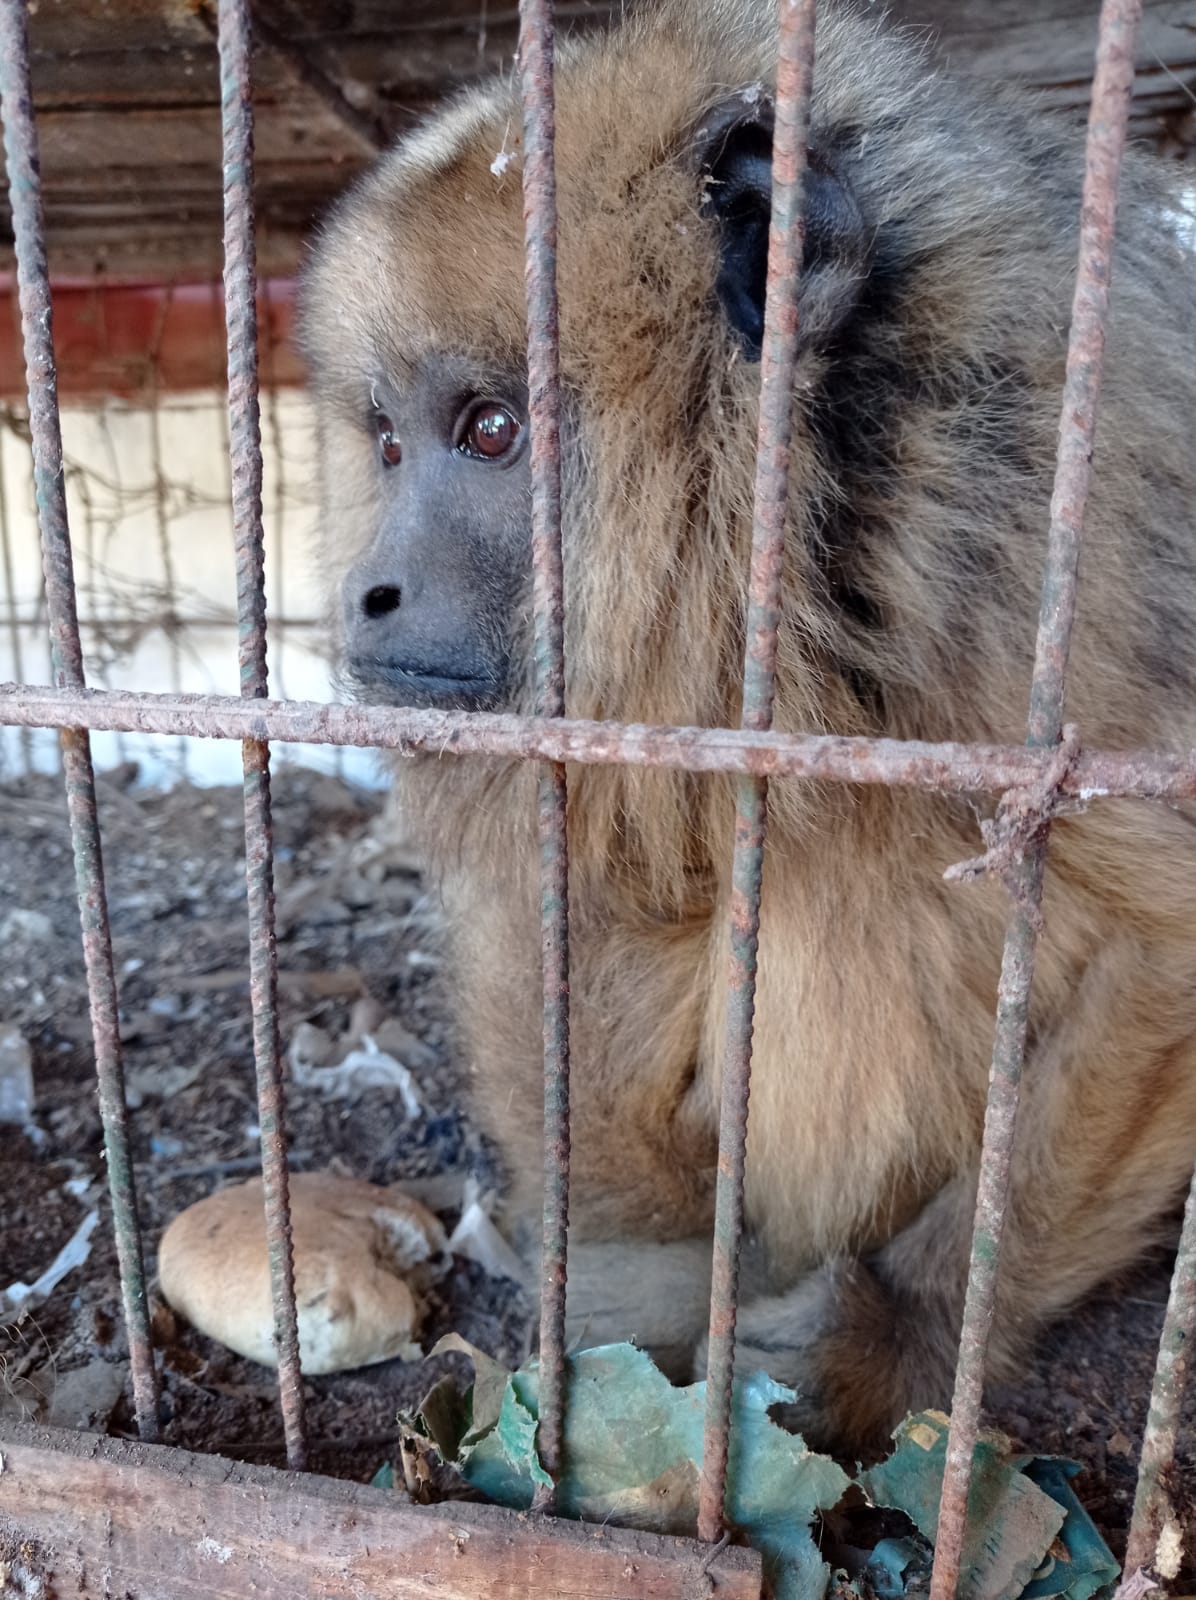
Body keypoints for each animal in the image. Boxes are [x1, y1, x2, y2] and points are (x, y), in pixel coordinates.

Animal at [300, 0, 1196, 1452]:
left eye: (488, 430)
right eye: (385, 444)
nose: (365, 589)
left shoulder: (1053, 562)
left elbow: (1162, 946)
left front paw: (904, 1333)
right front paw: (654, 1285)